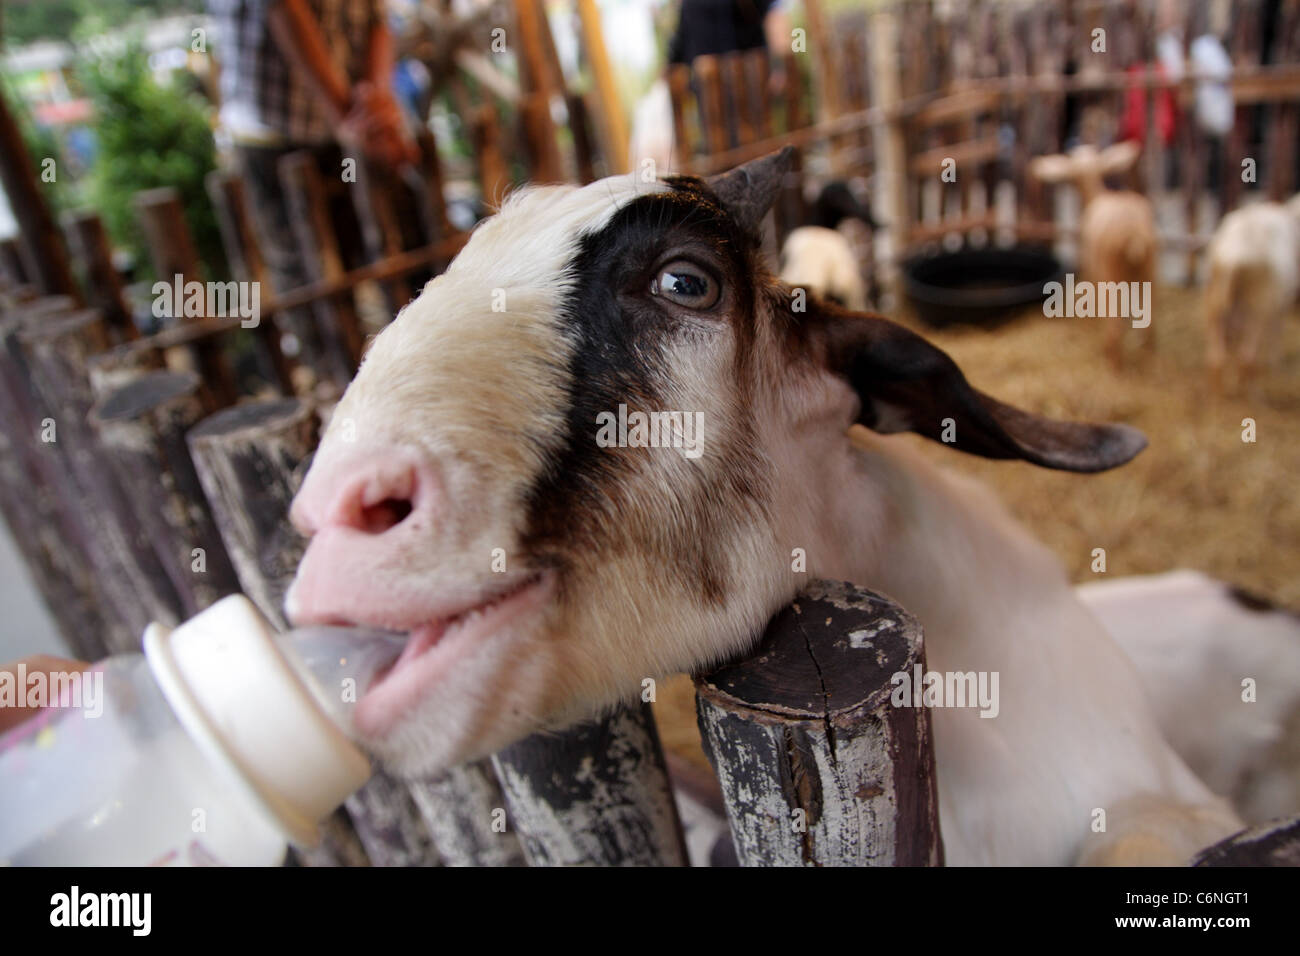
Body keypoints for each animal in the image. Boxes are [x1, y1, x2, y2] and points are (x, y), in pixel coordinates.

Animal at [1030, 142, 1158, 369]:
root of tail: (1133, 236)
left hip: (1110, 274)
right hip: (1149, 271)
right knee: (1150, 325)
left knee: (1115, 326)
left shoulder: (1092, 270)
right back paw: (1150, 360)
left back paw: (1112, 363)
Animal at [1202, 194, 1300, 392]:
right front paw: (1275, 362)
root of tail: (1234, 255)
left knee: (1217, 358)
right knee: (1246, 356)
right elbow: (1276, 332)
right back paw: (1247, 389)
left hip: (1215, 299)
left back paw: (1218, 391)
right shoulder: (1281, 303)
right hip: (1258, 306)